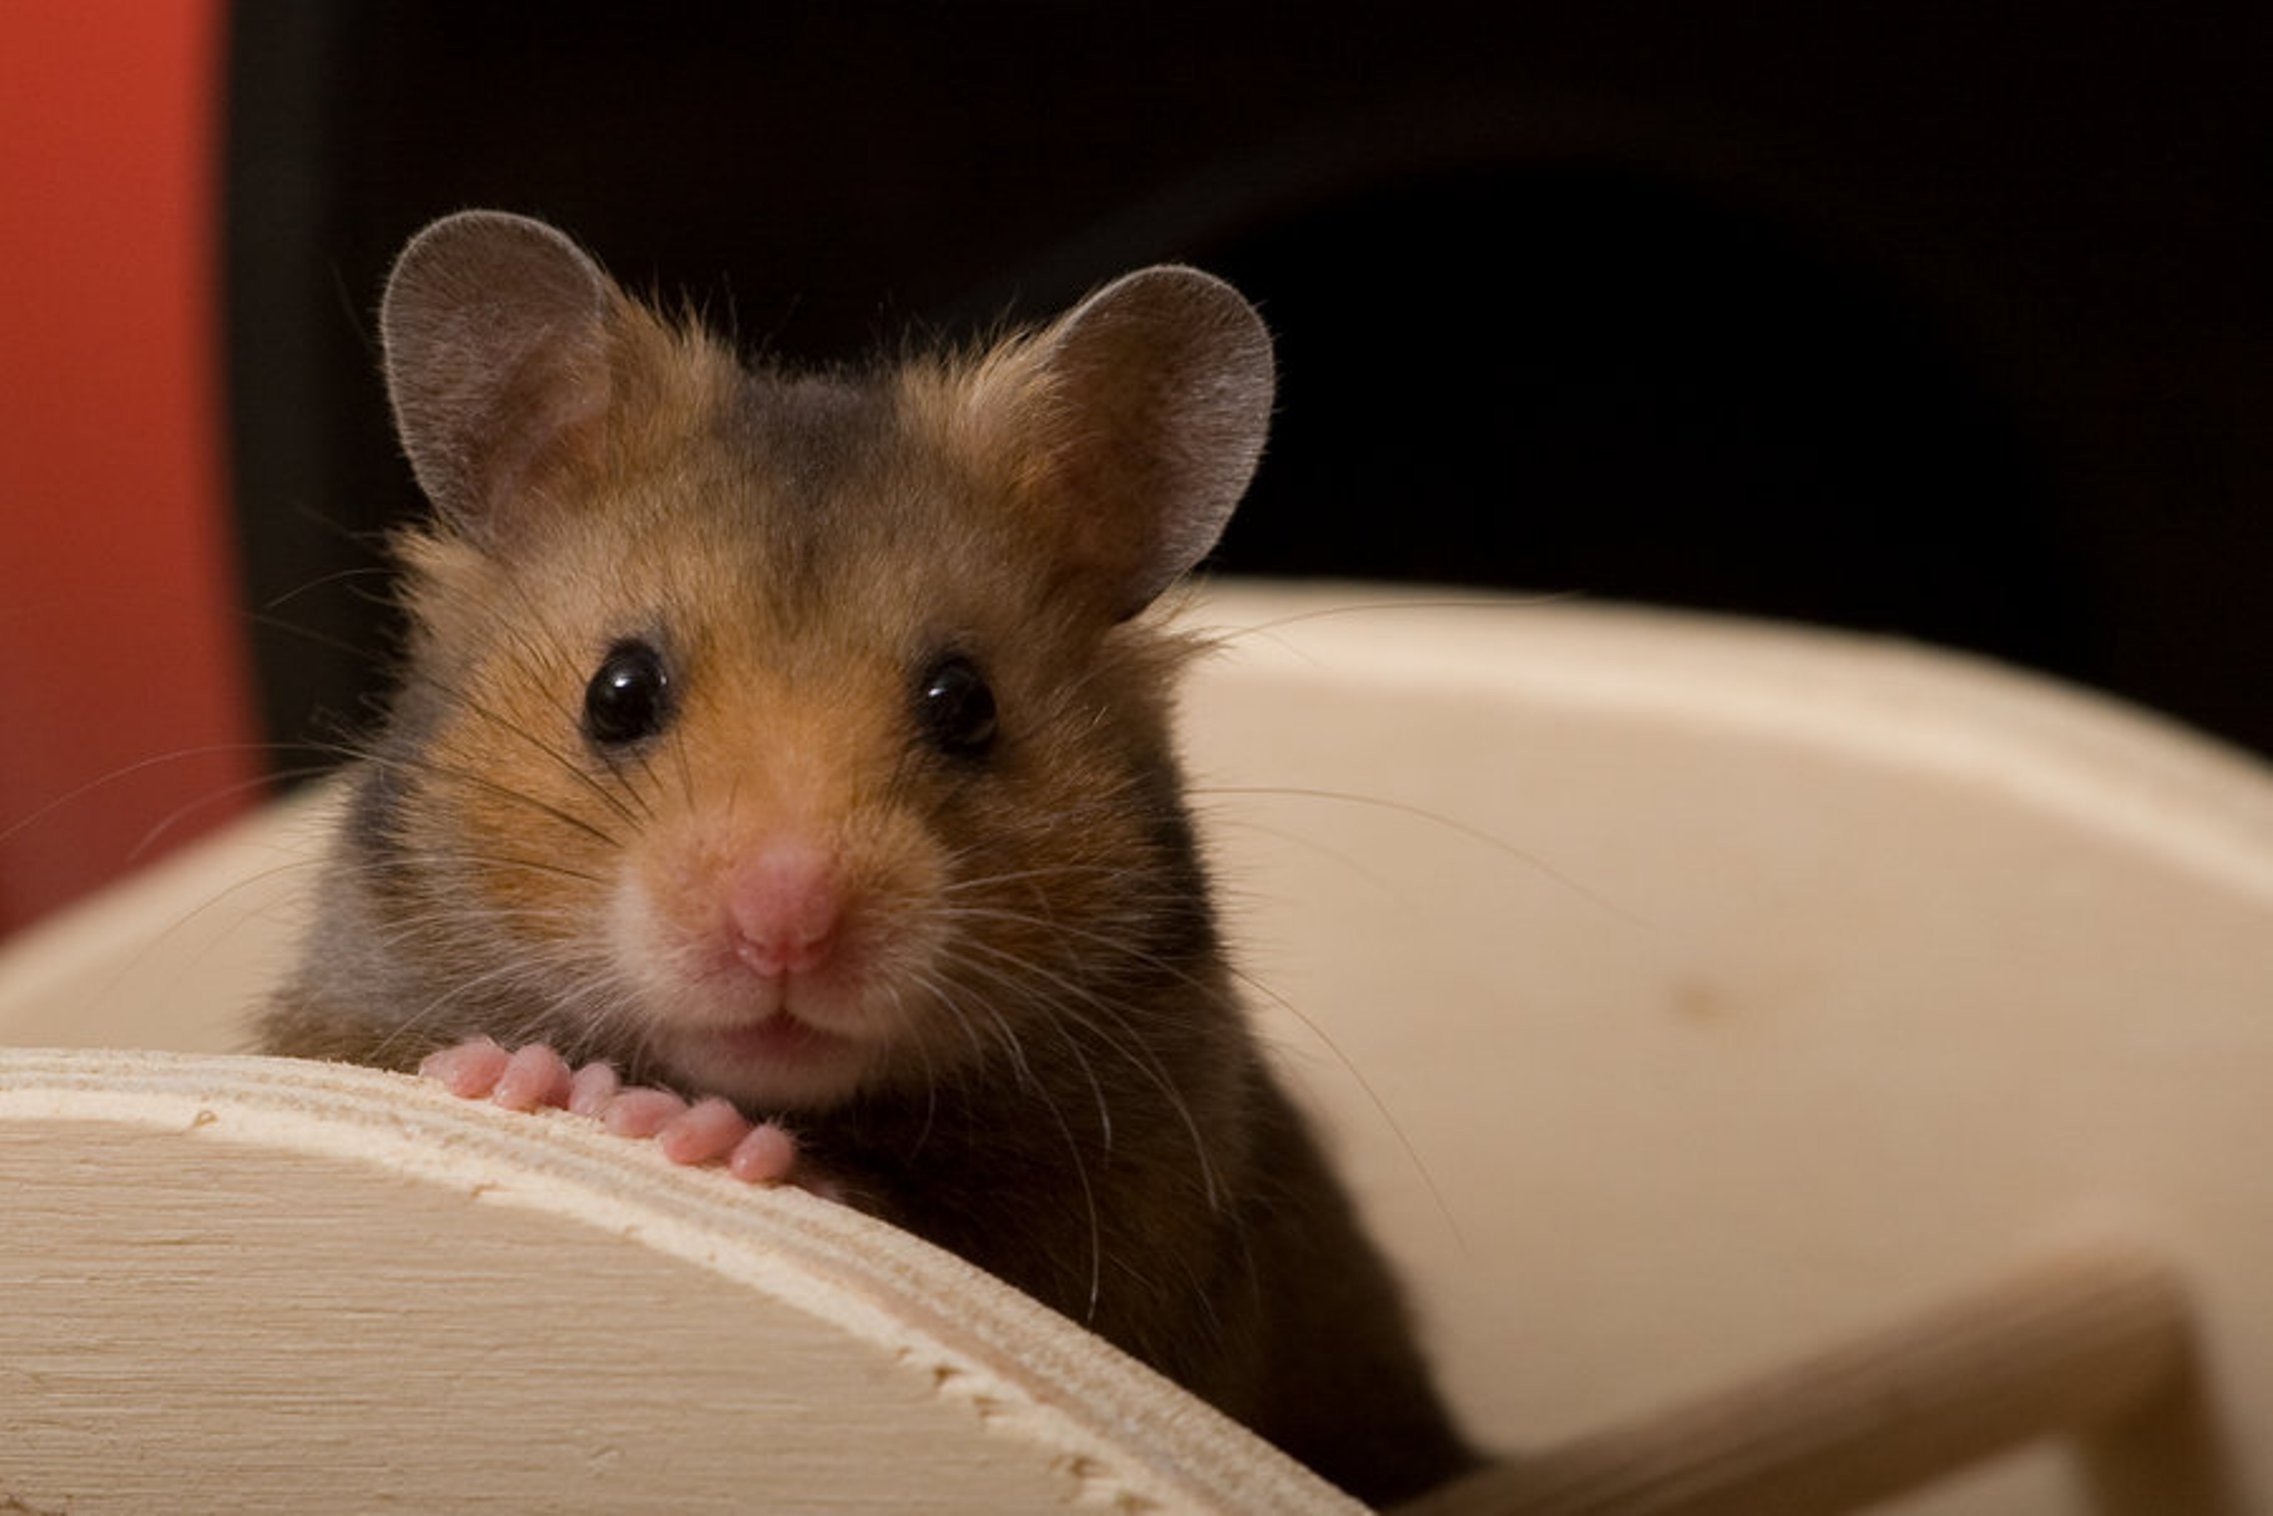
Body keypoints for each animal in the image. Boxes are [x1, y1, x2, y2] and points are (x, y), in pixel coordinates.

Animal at [258, 210, 1476, 1504]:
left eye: (965, 704)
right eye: (618, 690)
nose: (783, 922)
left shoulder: (1146, 1240)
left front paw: (684, 1131)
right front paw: (525, 1079)